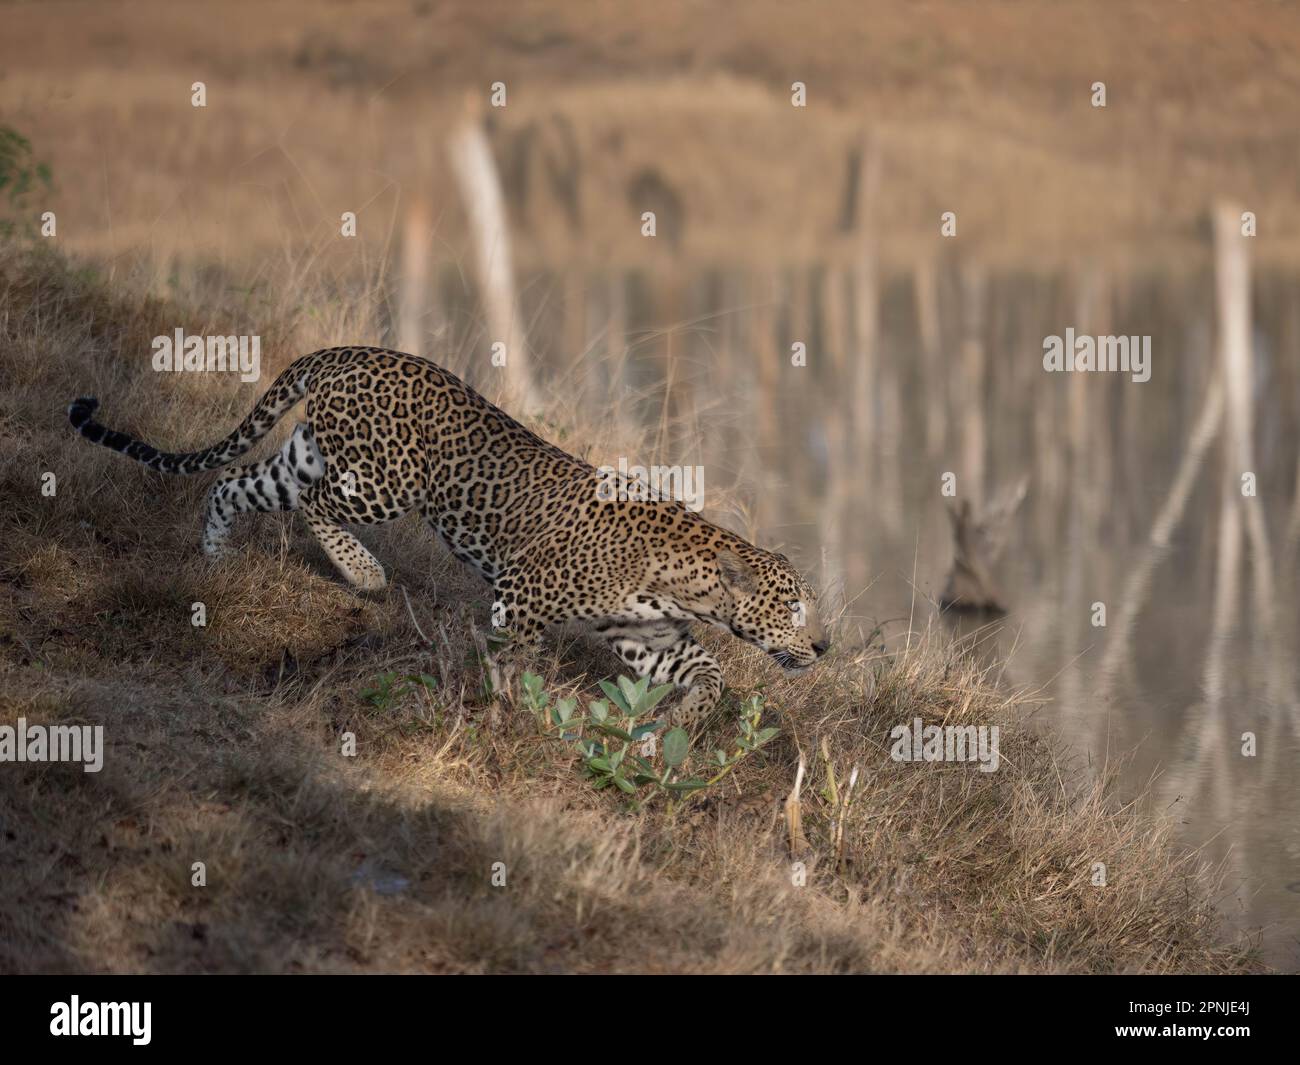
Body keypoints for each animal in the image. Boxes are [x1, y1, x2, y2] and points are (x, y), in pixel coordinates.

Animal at [67, 346, 830, 724]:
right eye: (794, 608)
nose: (824, 646)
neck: (688, 584)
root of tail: (346, 351)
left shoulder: (645, 637)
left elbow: (709, 676)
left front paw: (680, 725)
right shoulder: (523, 594)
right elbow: (512, 659)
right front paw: (509, 708)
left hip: (315, 454)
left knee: (233, 482)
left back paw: (215, 561)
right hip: (384, 480)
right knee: (313, 504)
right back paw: (364, 573)